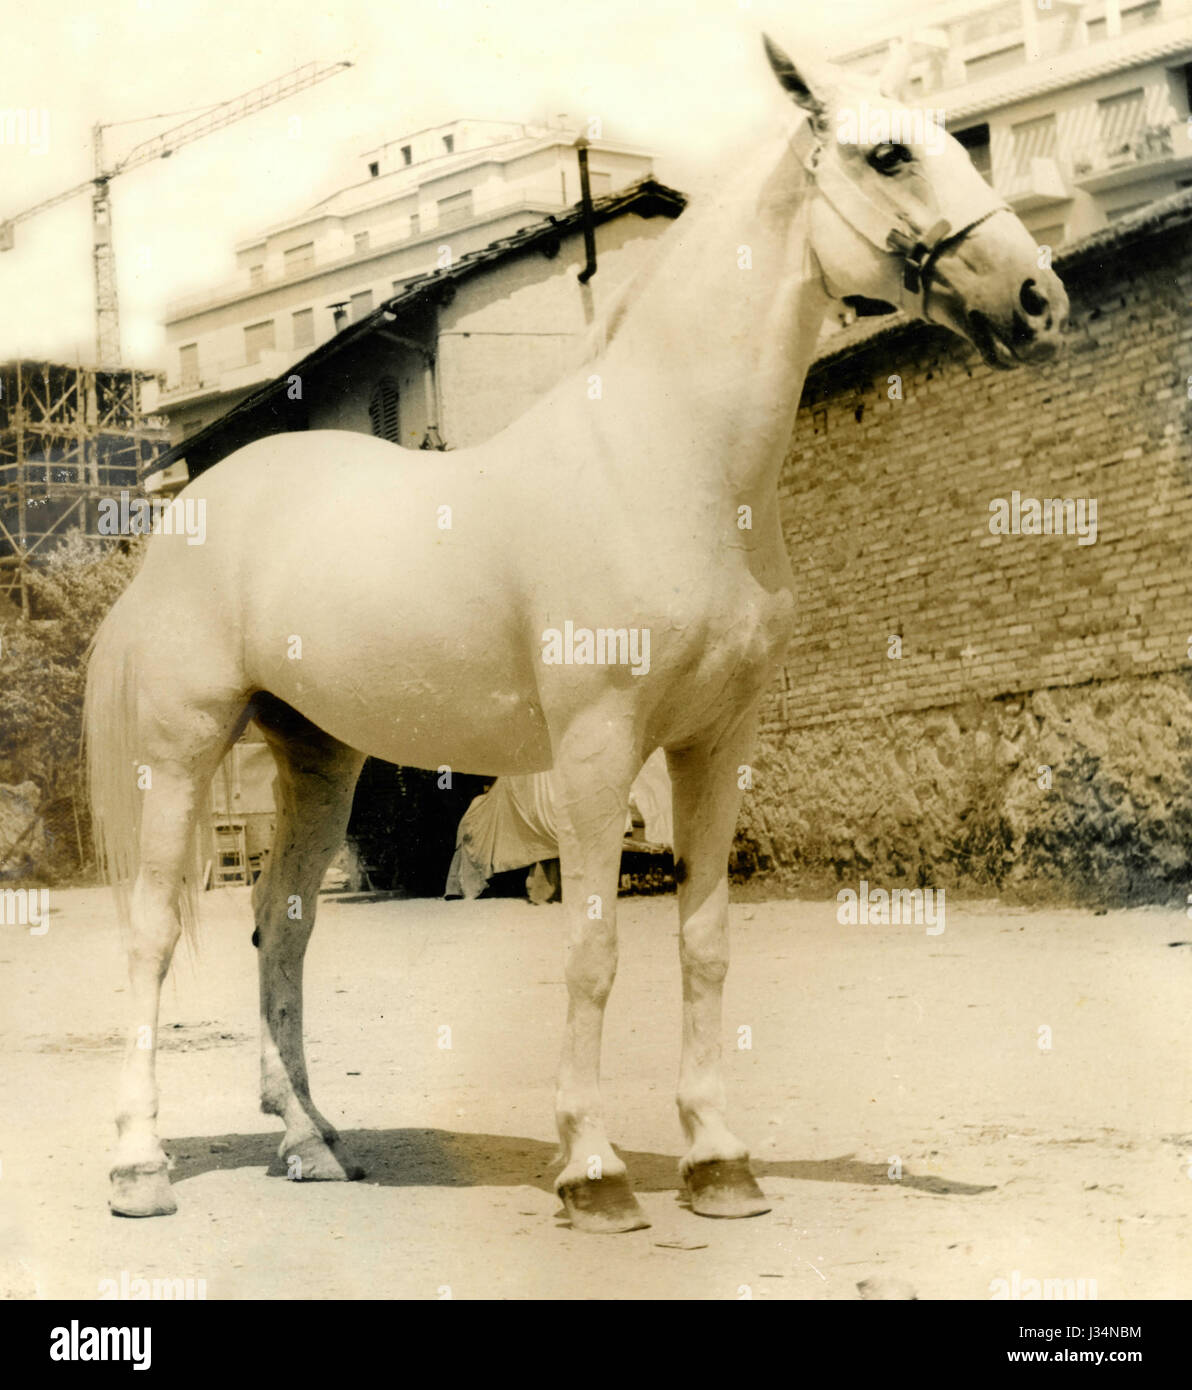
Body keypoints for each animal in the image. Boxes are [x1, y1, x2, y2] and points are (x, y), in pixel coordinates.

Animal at [85, 34, 1067, 1233]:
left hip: (319, 759)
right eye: (890, 155)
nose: (1037, 297)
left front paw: (718, 1163)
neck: (668, 463)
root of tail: (180, 518)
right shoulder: (599, 748)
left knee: (286, 924)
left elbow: (703, 943)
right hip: (180, 756)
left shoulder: (716, 745)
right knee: (151, 933)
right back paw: (138, 1167)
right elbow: (593, 948)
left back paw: (312, 1141)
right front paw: (593, 1171)